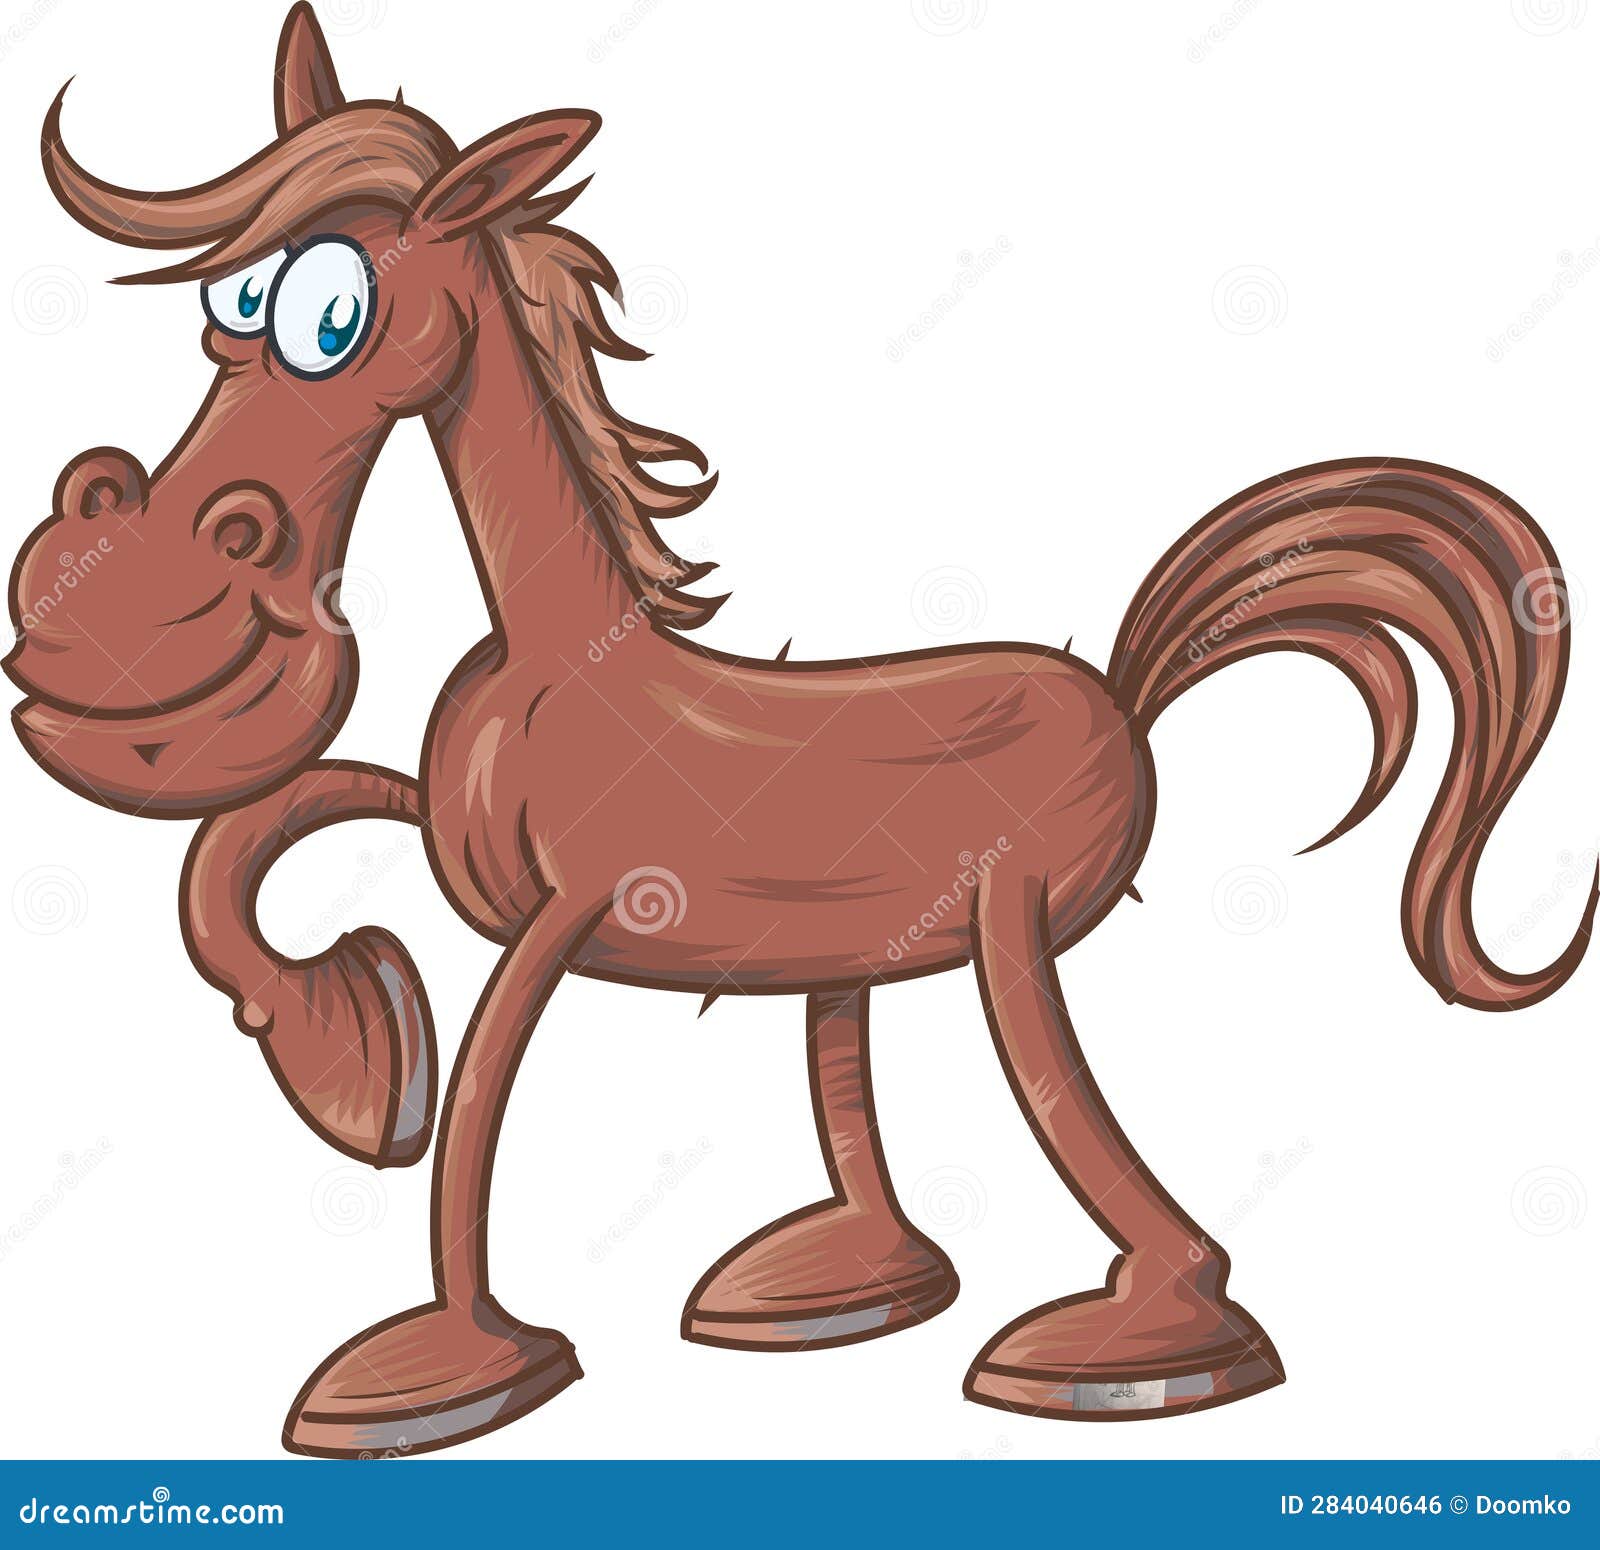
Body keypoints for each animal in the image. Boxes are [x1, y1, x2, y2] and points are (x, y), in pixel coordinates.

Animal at [8, 3, 1593, 1458]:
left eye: (334, 315)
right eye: (235, 303)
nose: (124, 587)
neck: (560, 662)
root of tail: (1123, 694)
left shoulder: (576, 908)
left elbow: (479, 1101)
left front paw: (443, 1360)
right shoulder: (465, 849)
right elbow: (247, 842)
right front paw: (353, 1052)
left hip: (1010, 936)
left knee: (1123, 1174)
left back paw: (1130, 1346)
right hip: (866, 948)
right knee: (851, 1084)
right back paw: (834, 1279)